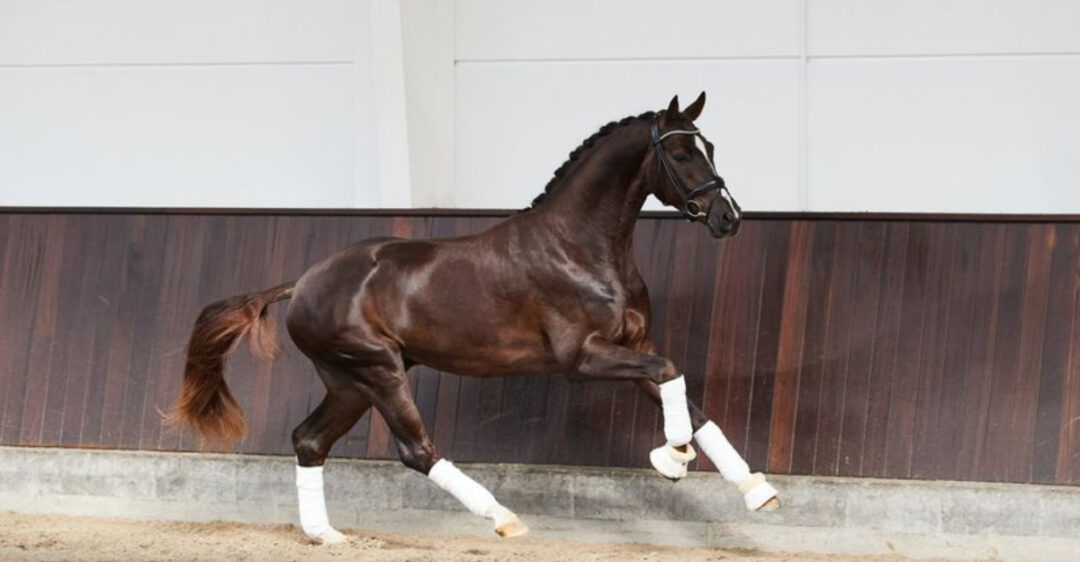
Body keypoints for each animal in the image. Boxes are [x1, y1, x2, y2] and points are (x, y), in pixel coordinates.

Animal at [169, 92, 779, 545]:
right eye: (682, 155)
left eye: (710, 146)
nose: (729, 218)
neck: (579, 248)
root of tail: (303, 282)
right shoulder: (582, 359)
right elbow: (672, 373)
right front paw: (672, 458)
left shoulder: (633, 346)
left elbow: (687, 399)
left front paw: (755, 491)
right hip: (377, 372)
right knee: (415, 451)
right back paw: (504, 519)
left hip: (348, 382)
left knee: (309, 440)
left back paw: (326, 535)